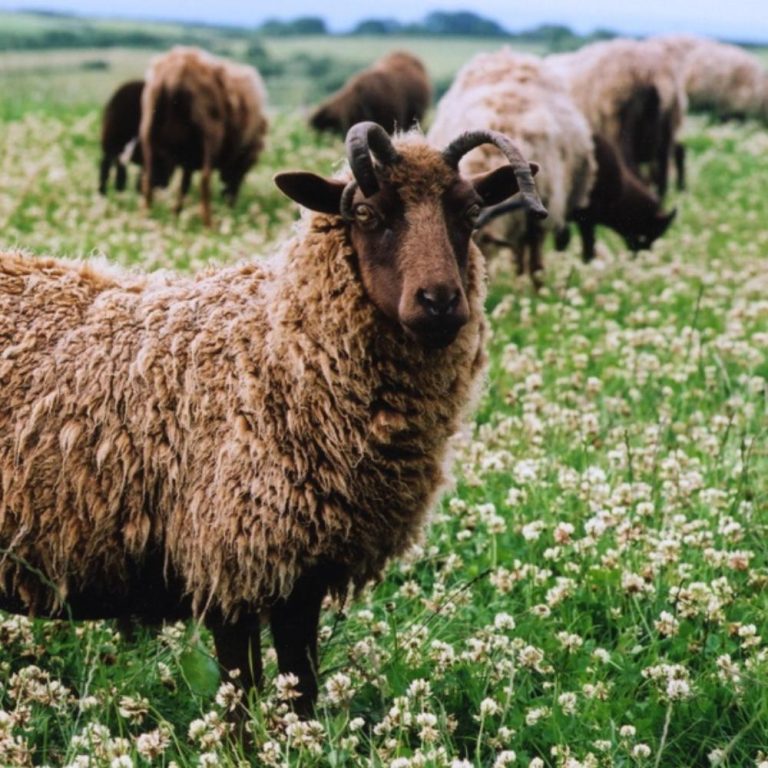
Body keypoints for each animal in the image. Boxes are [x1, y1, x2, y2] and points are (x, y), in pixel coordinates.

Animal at [0, 122, 544, 717]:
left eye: (470, 211)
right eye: (365, 213)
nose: (440, 301)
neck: (277, 347)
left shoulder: (303, 576)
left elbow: (301, 690)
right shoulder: (228, 561)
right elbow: (240, 699)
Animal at [140, 46, 268, 226]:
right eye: (246, 165)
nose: (231, 202)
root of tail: (176, 73)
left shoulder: (188, 156)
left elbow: (184, 185)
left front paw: (176, 213)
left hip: (148, 130)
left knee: (147, 179)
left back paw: (146, 217)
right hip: (211, 131)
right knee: (205, 181)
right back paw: (209, 223)